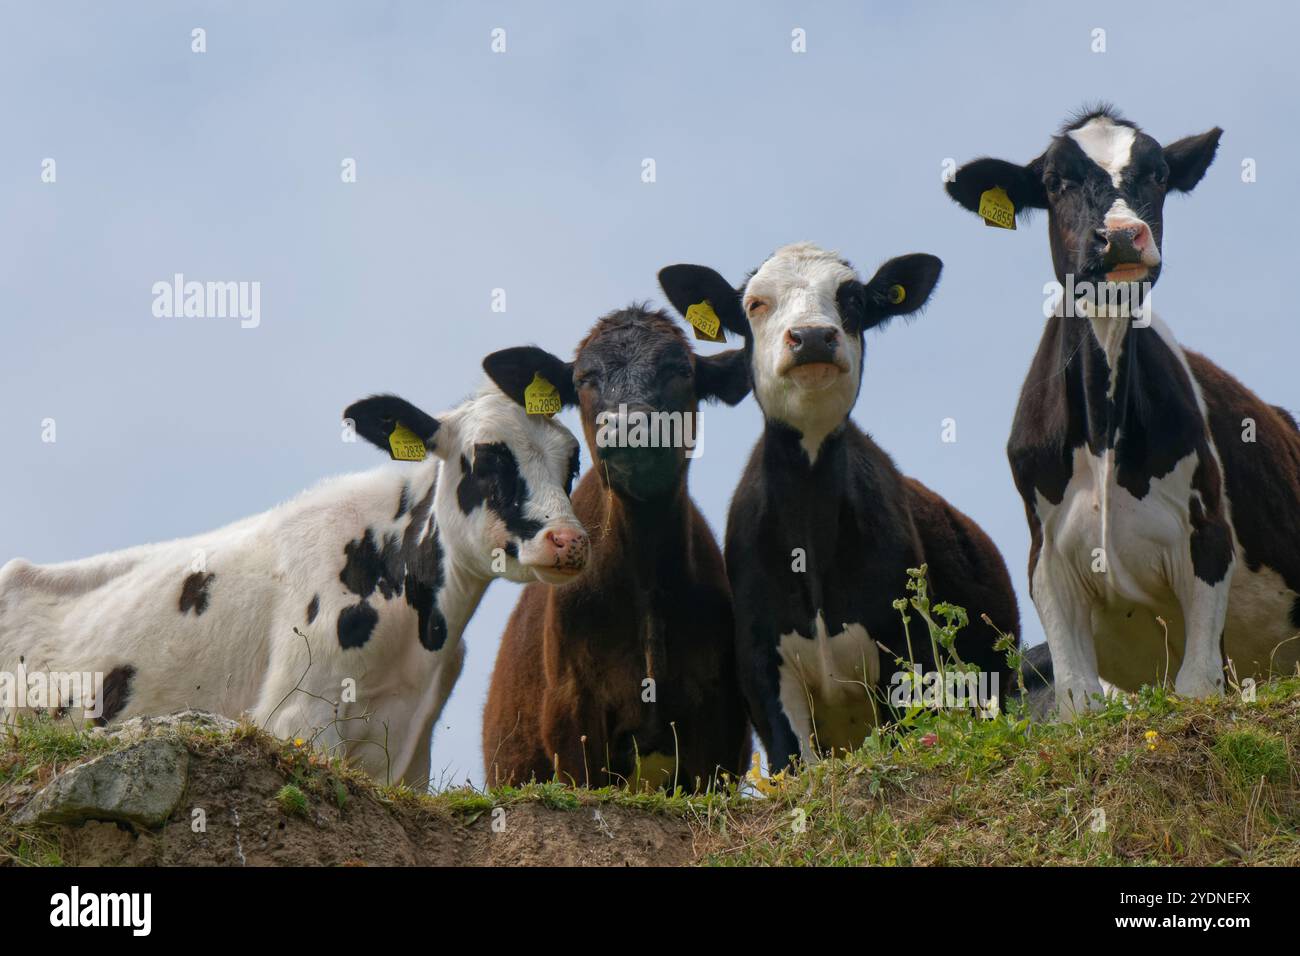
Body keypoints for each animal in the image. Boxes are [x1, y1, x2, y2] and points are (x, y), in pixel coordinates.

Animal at [946, 104, 1300, 715]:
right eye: (1055, 181)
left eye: (1158, 174)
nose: (1120, 236)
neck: (1103, 433)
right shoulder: (1047, 562)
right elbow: (1078, 703)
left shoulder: (1207, 540)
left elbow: (1195, 686)